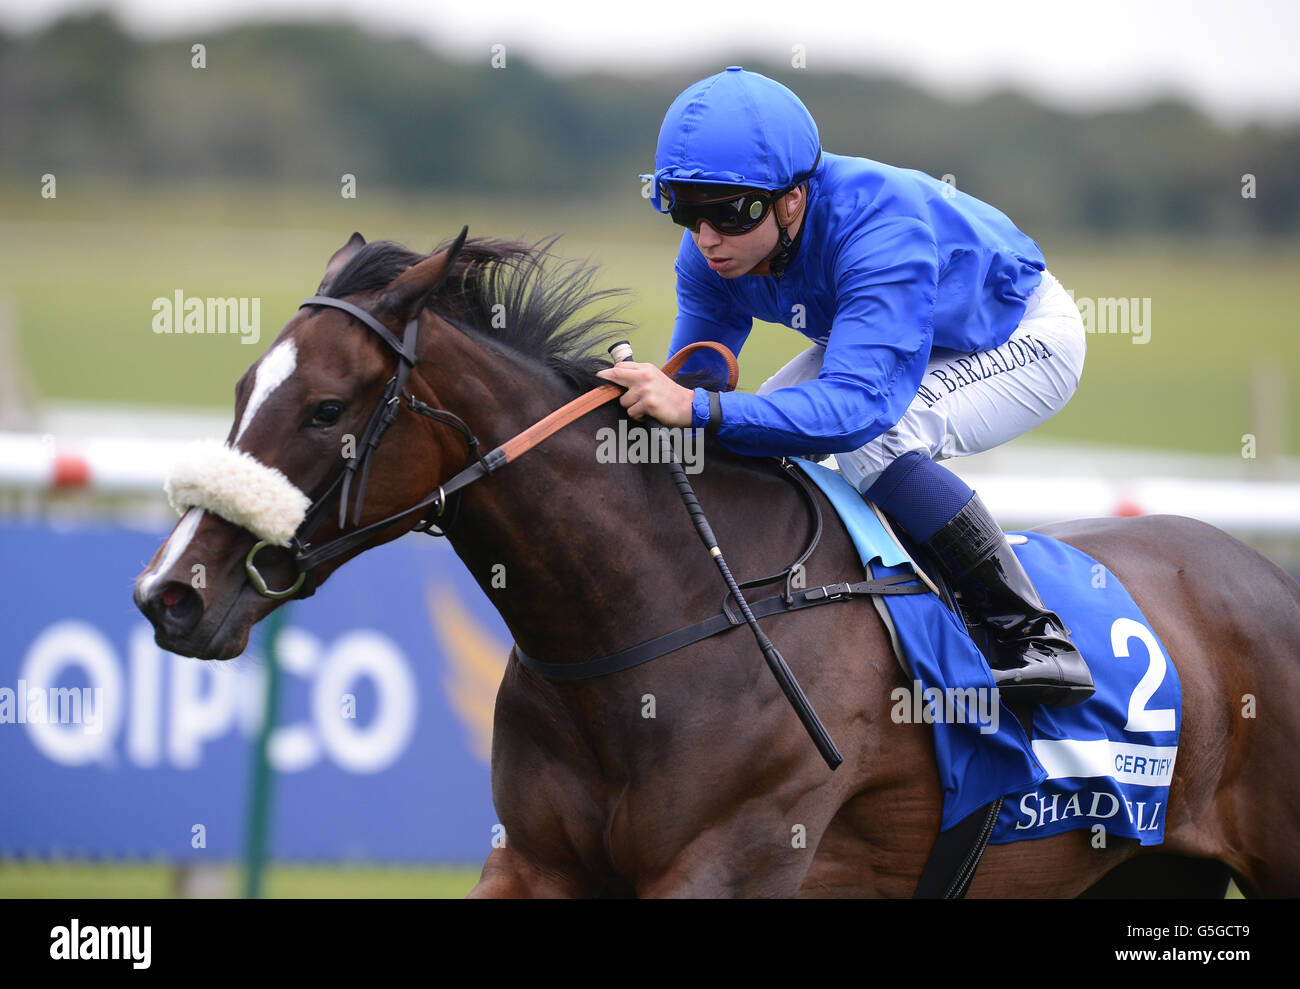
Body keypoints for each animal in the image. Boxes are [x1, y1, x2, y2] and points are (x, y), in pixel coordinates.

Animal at [133, 230, 1300, 898]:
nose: (169, 593)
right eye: (243, 385)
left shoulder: (729, 862)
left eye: (327, 408)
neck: (655, 612)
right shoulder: (537, 858)